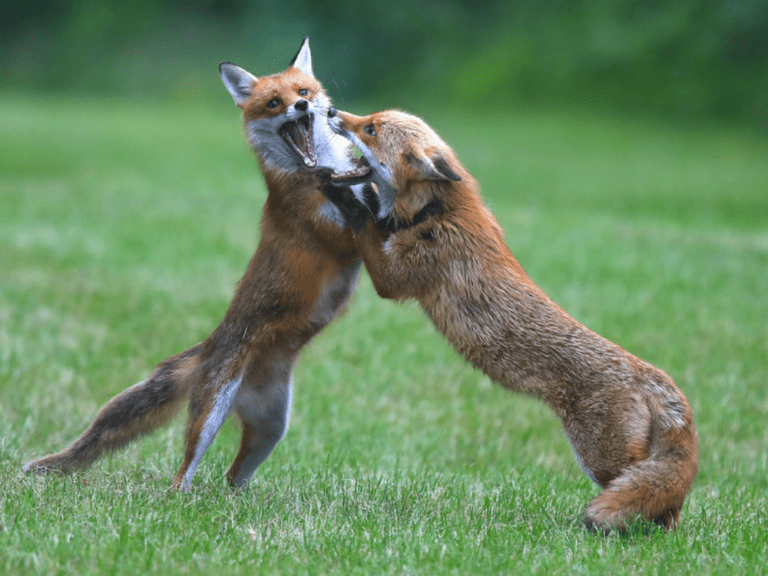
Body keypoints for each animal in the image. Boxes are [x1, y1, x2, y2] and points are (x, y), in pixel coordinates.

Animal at [24, 38, 368, 490]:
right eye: (274, 103)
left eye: (303, 92)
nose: (301, 108)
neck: (314, 171)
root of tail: (206, 347)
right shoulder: (338, 238)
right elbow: (363, 217)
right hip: (211, 415)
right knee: (182, 477)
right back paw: (182, 497)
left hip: (272, 429)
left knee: (232, 478)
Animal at [313, 107, 699, 533]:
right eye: (369, 118)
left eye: (370, 128)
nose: (331, 111)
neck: (435, 211)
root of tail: (652, 377)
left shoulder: (395, 277)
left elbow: (363, 221)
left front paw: (341, 193)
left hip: (601, 458)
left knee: (656, 495)